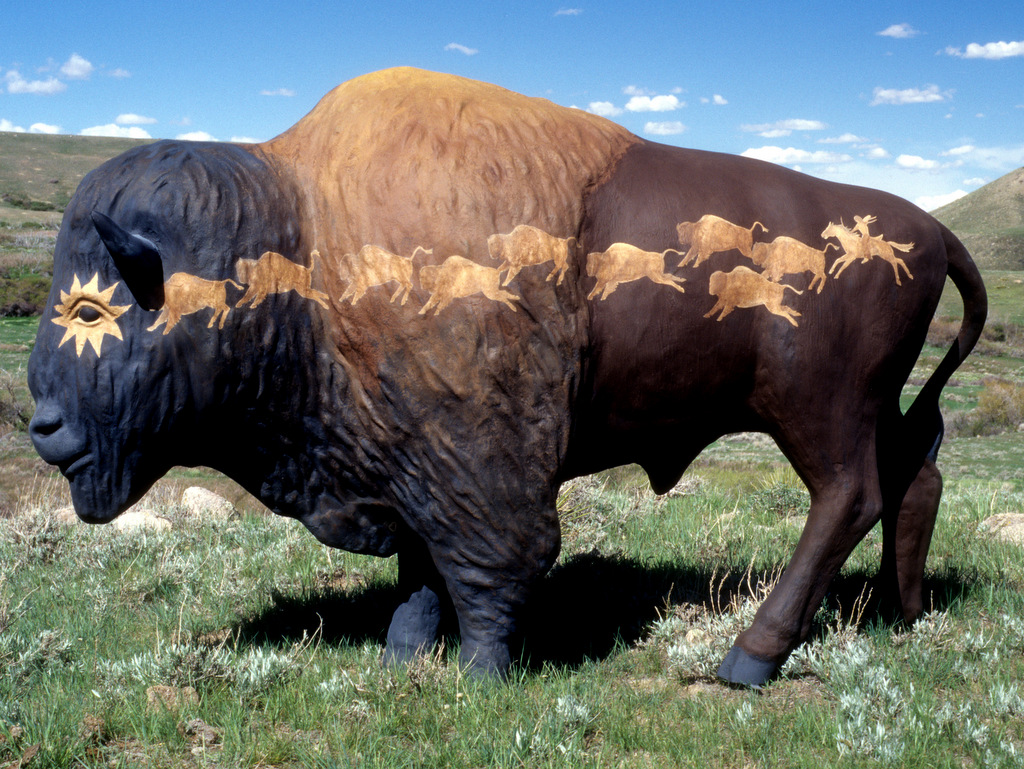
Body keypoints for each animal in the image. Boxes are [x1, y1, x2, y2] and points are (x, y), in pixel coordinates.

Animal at [28, 67, 986, 687]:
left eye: (90, 310)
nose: (41, 425)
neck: (304, 230)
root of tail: (931, 230)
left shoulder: (478, 461)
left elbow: (494, 561)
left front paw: (483, 675)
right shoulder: (406, 452)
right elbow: (420, 570)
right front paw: (402, 659)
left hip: (814, 408)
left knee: (849, 495)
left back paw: (747, 659)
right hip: (867, 406)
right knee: (914, 477)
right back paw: (900, 614)